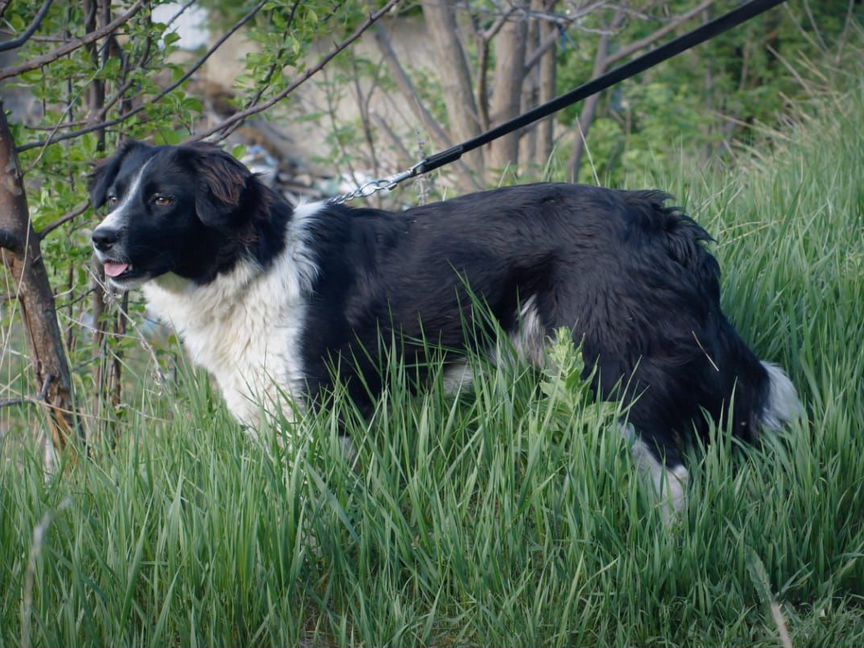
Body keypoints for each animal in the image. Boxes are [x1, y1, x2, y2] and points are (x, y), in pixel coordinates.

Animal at [91, 143, 800, 516]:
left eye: (163, 199)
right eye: (116, 196)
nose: (99, 239)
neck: (253, 262)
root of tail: (655, 216)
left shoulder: (327, 414)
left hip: (616, 364)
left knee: (673, 468)